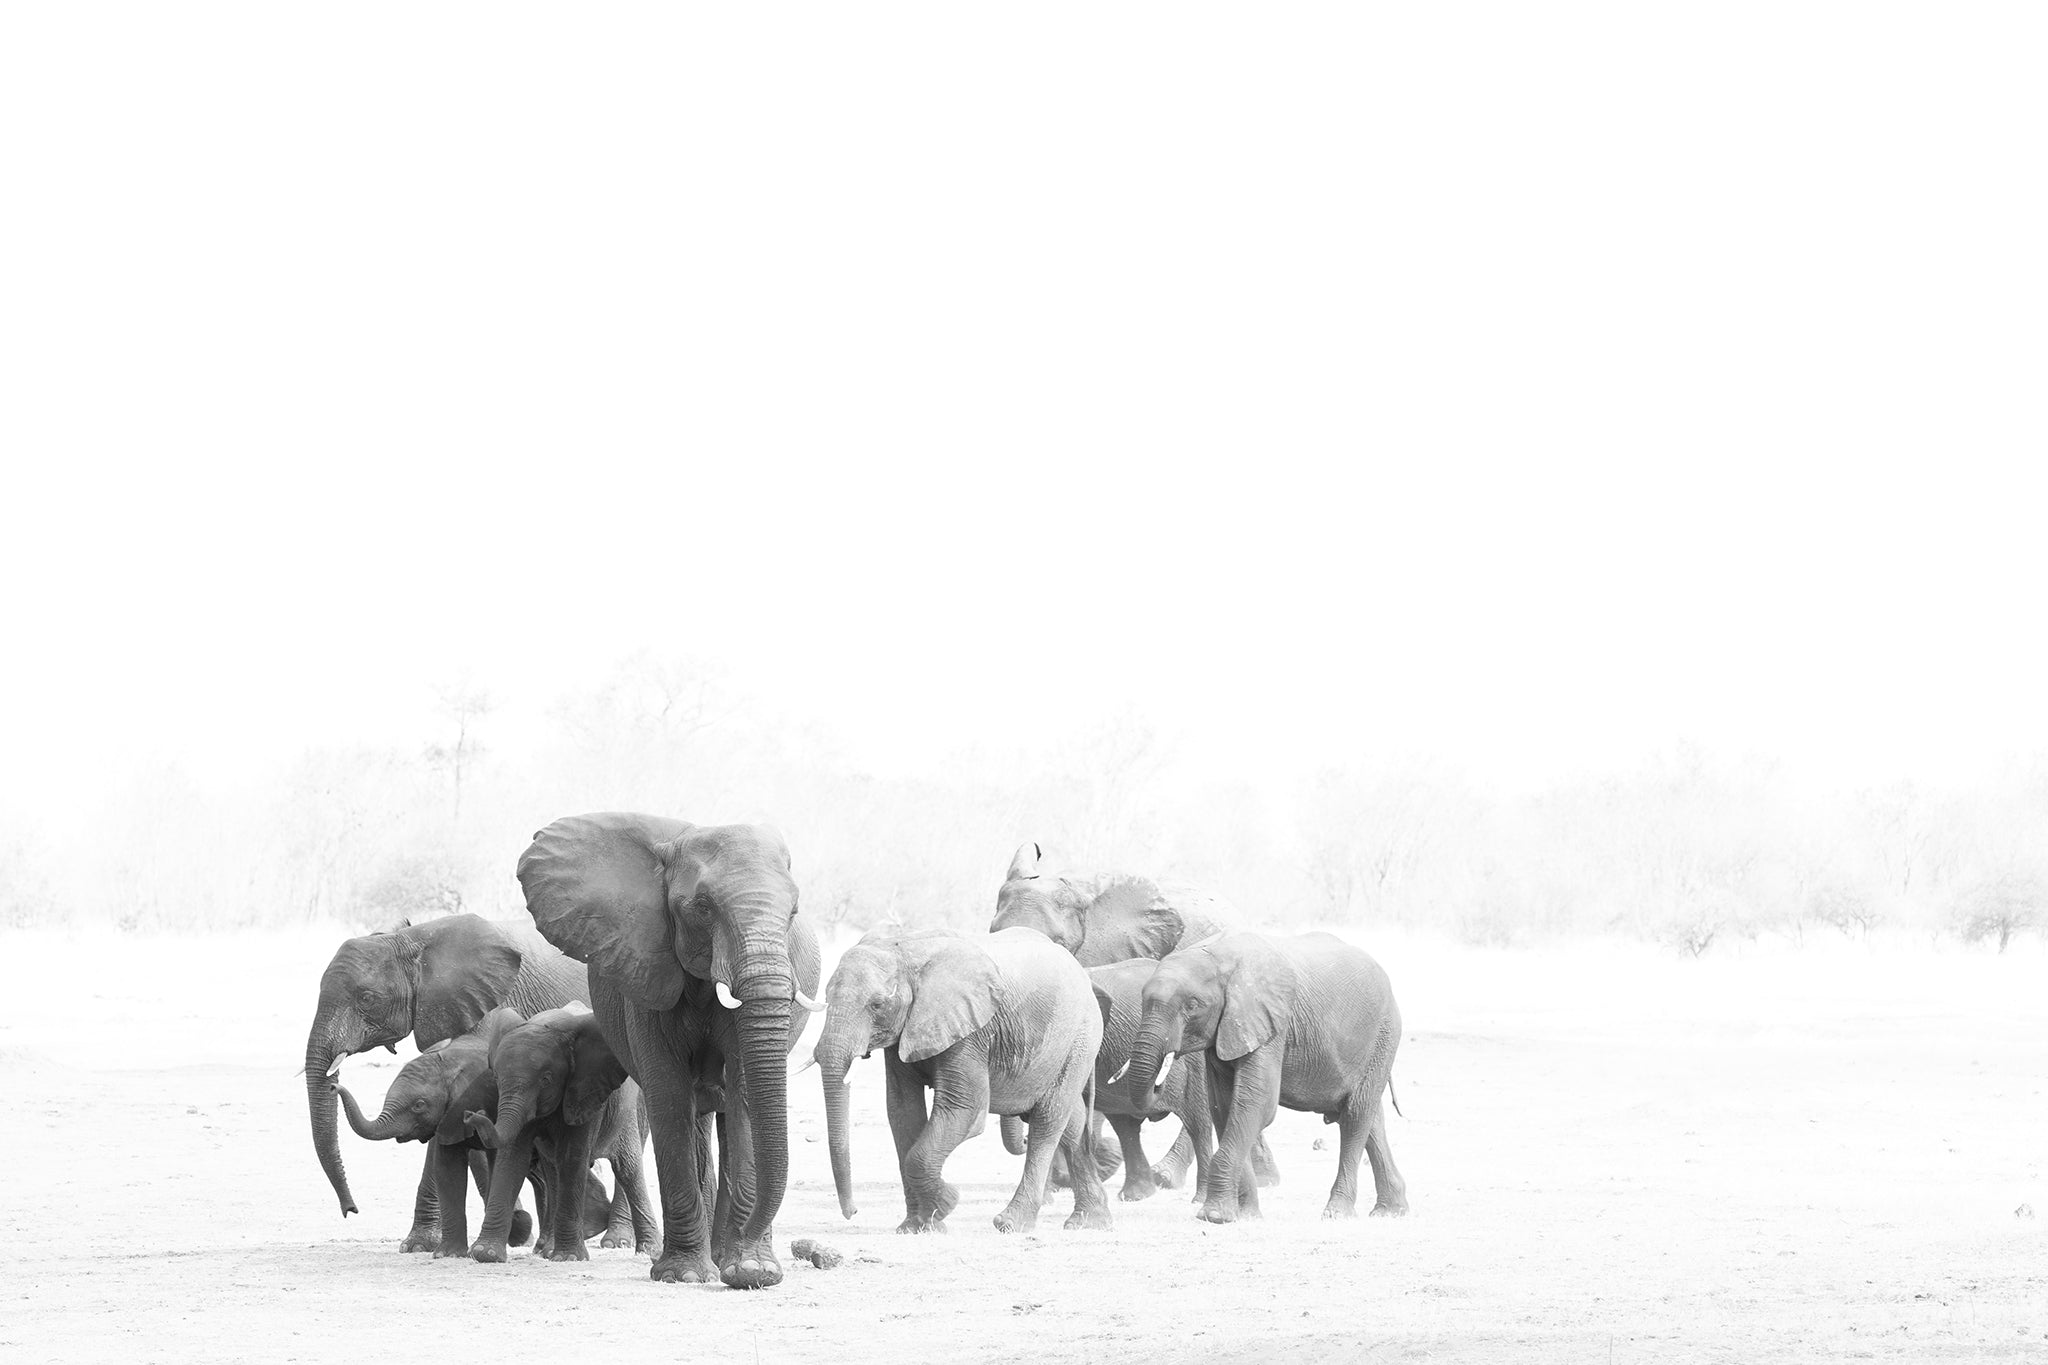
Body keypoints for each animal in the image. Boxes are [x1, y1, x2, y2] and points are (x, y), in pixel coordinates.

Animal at [461, 1005, 659, 1262]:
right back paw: (549, 1250)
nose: (471, 1114)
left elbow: (572, 1157)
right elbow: (513, 1157)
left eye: (546, 1079)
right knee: (553, 1172)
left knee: (628, 1169)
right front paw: (485, 1254)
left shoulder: (585, 1090)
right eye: (496, 1077)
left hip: (626, 1113)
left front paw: (569, 1258)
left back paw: (649, 1250)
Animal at [517, 813, 823, 1289]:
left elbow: (744, 1092)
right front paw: (684, 1275)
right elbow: (669, 1091)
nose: (746, 1271)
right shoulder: (645, 972)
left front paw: (751, 1269)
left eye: (792, 913)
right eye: (702, 907)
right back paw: (712, 1258)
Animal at [813, 926, 1113, 1235]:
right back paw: (1089, 1222)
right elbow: (903, 1111)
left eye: (877, 1004)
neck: (906, 949)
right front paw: (915, 1227)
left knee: (1047, 1121)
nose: (852, 1212)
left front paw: (945, 1204)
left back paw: (1011, 1223)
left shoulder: (970, 1031)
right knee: (1072, 1122)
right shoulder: (906, 1032)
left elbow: (964, 1110)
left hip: (1079, 1036)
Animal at [1124, 930, 1408, 1224]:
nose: (1159, 1087)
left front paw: (1213, 1215)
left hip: (1383, 1034)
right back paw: (1390, 1211)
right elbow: (1224, 1108)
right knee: (1371, 1118)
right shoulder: (1226, 1031)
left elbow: (1257, 1104)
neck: (1218, 956)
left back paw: (1337, 1213)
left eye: (1192, 1005)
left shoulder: (1268, 1023)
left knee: (1355, 1116)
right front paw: (1246, 1215)